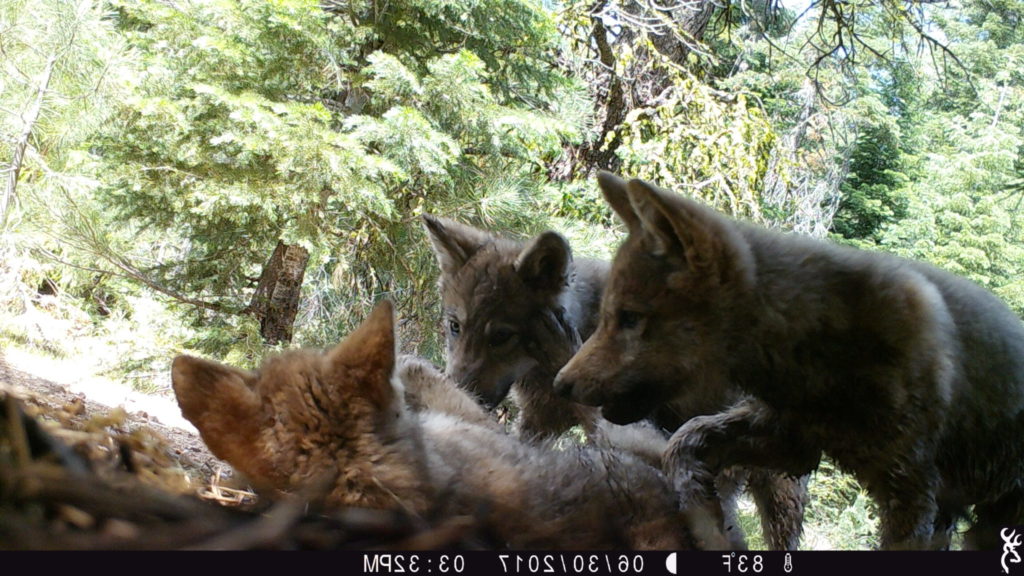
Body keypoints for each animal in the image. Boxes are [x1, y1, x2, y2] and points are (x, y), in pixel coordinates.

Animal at [553, 172, 1024, 550]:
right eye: (607, 316)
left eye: (630, 318)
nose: (560, 385)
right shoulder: (791, 441)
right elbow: (683, 443)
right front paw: (708, 519)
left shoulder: (910, 492)